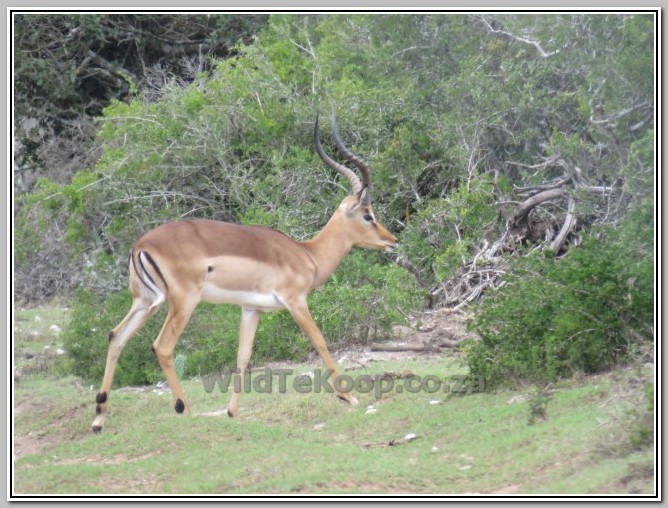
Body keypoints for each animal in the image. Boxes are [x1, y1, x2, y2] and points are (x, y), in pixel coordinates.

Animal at [91, 112, 398, 432]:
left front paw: (232, 411)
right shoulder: (296, 301)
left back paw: (99, 418)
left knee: (116, 337)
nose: (393, 240)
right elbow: (320, 341)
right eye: (368, 215)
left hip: (147, 301)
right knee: (161, 347)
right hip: (183, 302)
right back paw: (185, 409)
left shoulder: (251, 309)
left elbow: (243, 355)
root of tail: (141, 245)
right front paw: (348, 397)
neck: (307, 254)